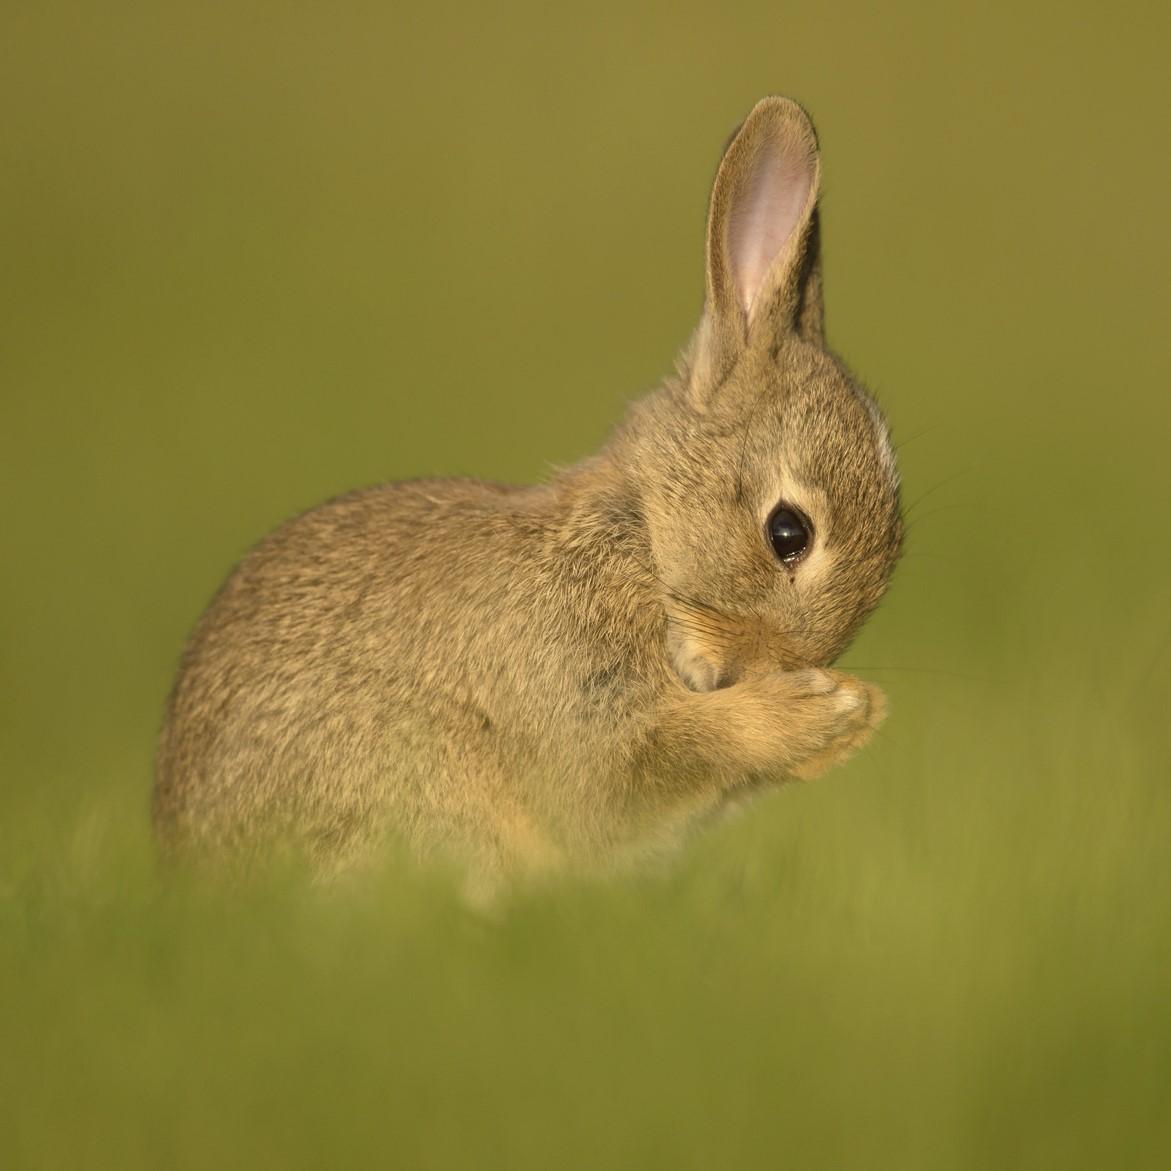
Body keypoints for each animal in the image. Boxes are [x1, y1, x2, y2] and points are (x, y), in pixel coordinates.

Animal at [153, 96, 903, 887]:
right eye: (787, 533)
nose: (764, 670)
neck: (641, 540)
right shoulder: (574, 698)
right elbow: (630, 774)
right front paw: (830, 711)